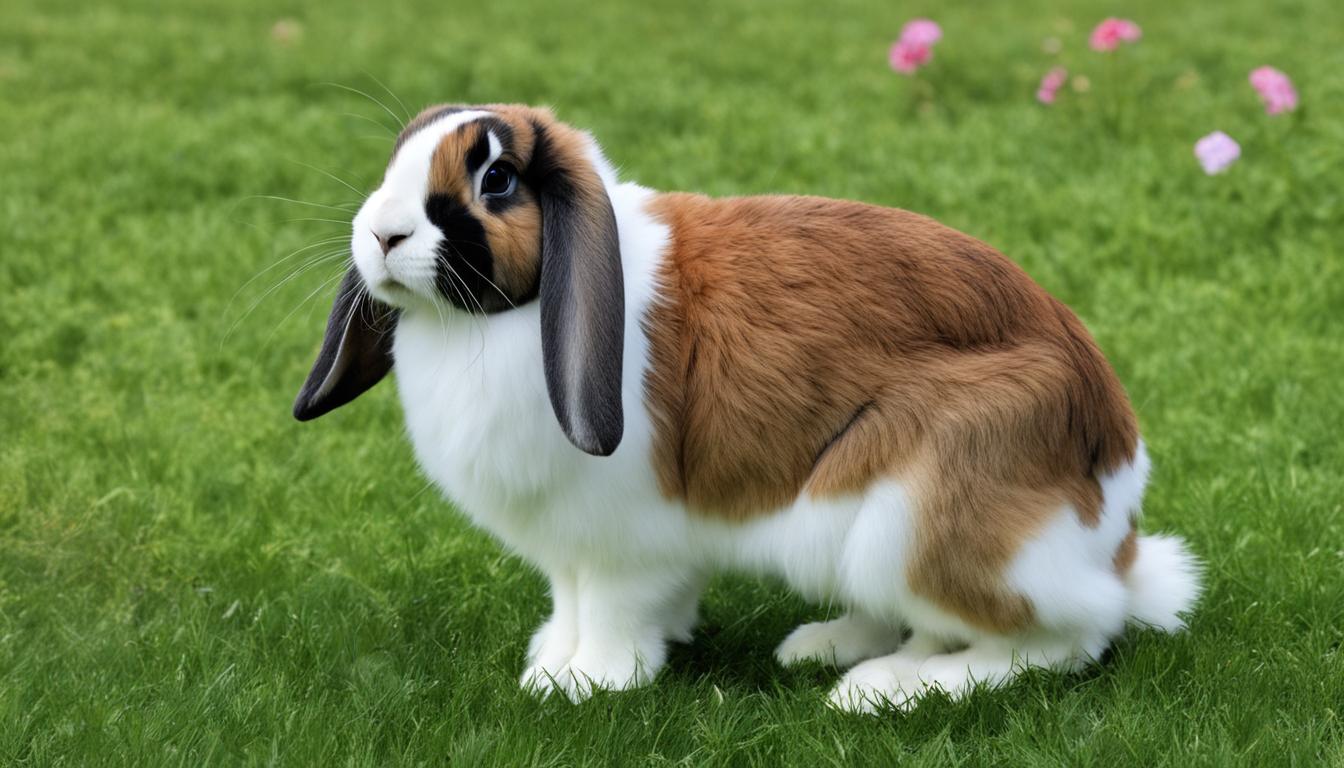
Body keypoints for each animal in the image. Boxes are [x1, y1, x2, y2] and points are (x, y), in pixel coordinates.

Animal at [293, 103, 1202, 713]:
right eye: (397, 160)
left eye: (496, 179)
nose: (381, 235)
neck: (514, 314)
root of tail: (1113, 531)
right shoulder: (570, 550)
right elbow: (571, 599)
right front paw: (554, 659)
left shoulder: (623, 545)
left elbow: (614, 608)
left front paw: (590, 683)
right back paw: (824, 647)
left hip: (917, 524)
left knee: (1058, 639)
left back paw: (885, 689)